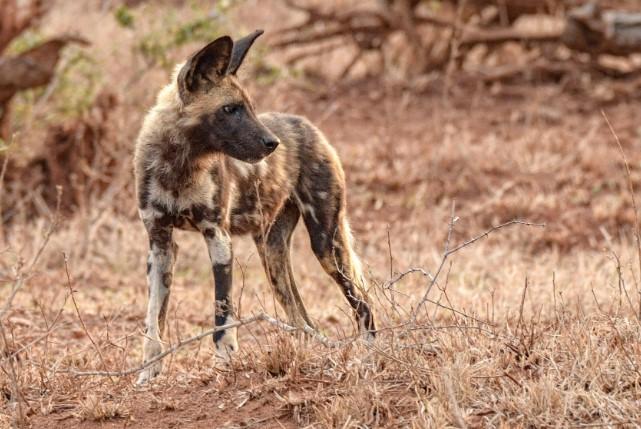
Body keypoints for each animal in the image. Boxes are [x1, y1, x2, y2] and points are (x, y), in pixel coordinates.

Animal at [133, 30, 375, 384]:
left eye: (250, 108)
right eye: (230, 109)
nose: (272, 143)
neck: (179, 165)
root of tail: (309, 126)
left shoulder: (218, 238)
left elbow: (222, 315)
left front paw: (224, 364)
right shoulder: (160, 244)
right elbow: (154, 321)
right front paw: (148, 374)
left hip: (327, 247)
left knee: (364, 304)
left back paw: (372, 356)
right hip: (271, 253)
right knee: (302, 319)